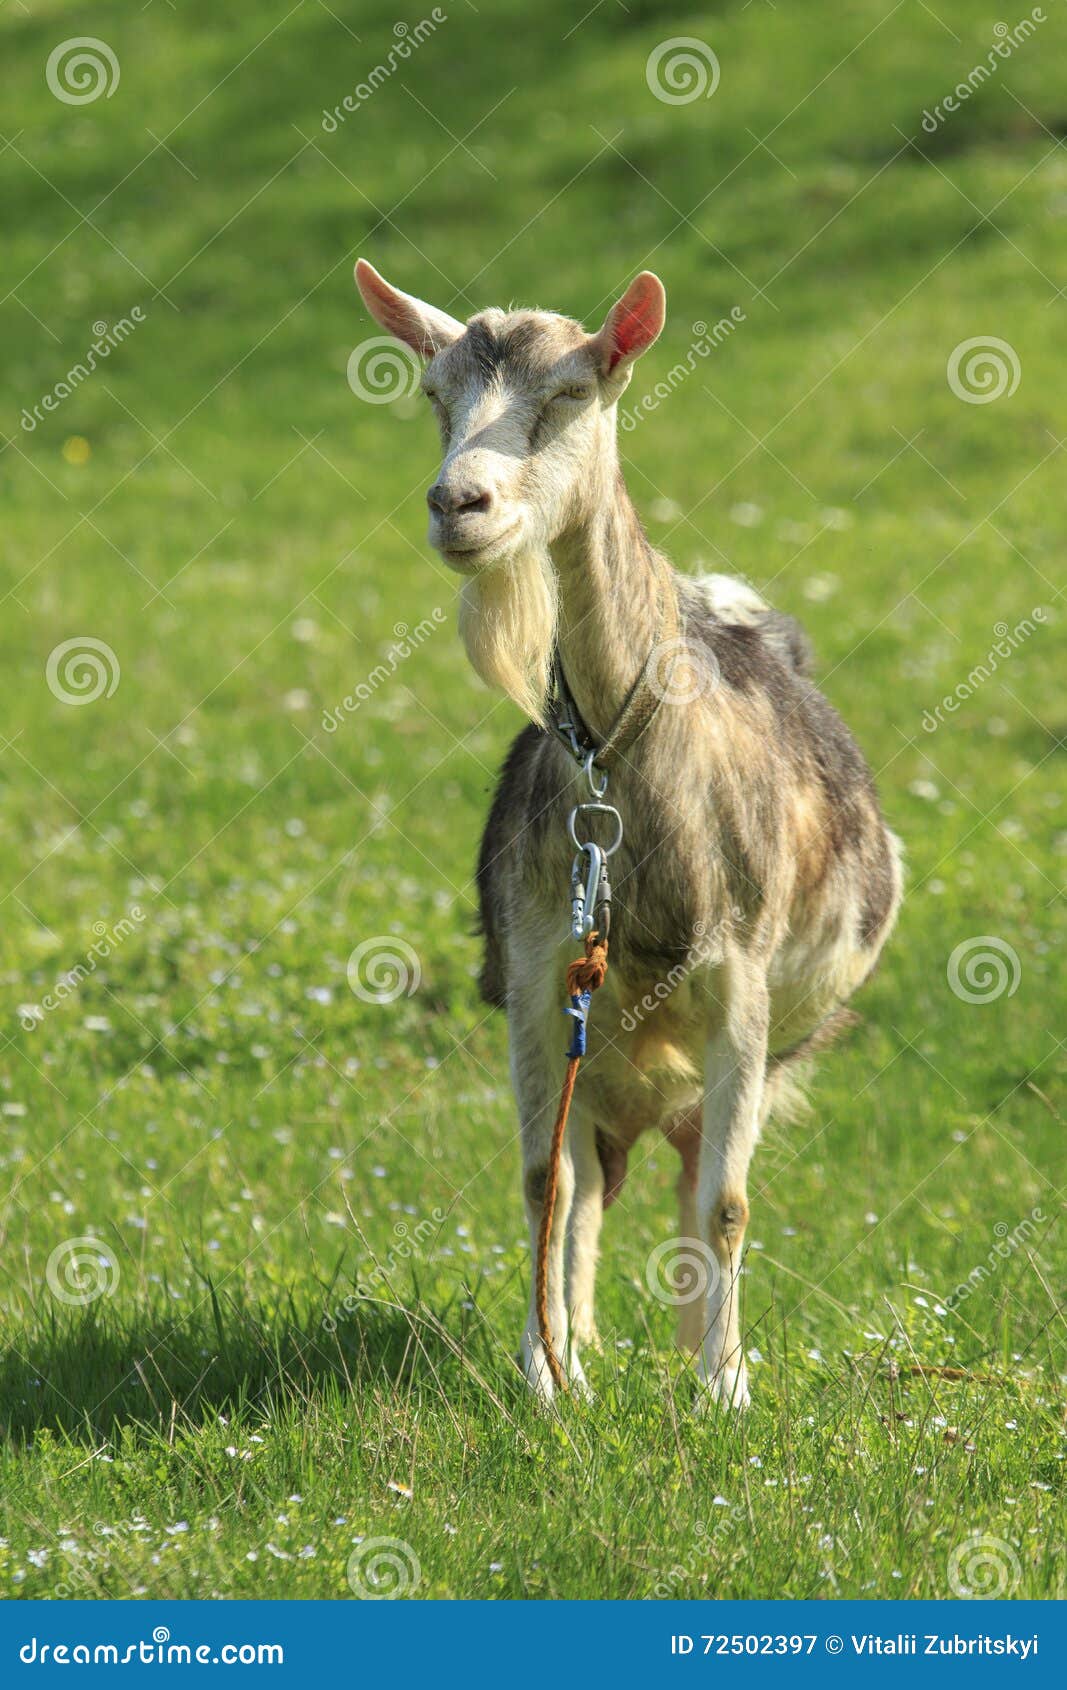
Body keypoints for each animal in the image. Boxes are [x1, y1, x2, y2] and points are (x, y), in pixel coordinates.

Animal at [355, 259, 902, 1408]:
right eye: (433, 394)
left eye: (572, 392)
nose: (456, 503)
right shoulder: (536, 977)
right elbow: (542, 1182)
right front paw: (545, 1373)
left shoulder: (739, 982)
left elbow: (729, 1201)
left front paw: (723, 1389)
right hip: (602, 1058)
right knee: (596, 1178)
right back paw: (590, 1341)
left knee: (696, 1171)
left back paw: (698, 1346)